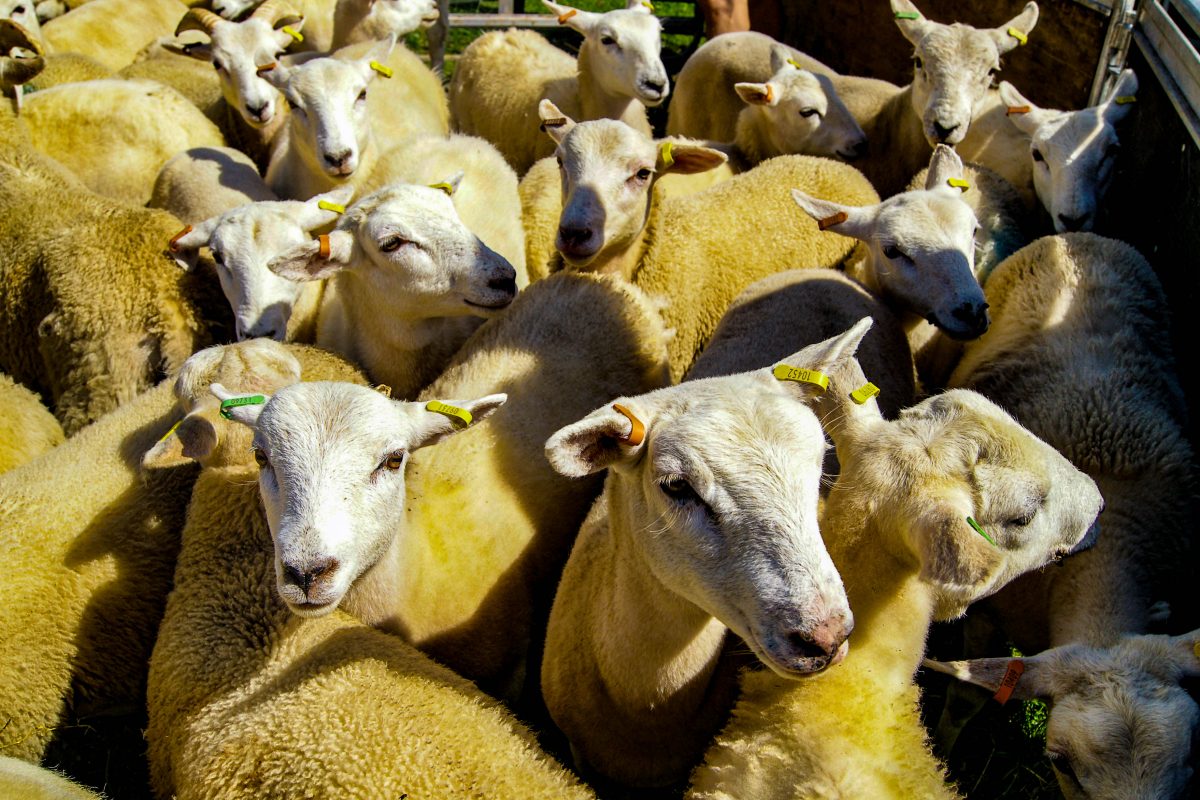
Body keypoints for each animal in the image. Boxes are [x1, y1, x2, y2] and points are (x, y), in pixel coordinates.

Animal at [217, 271, 670, 701]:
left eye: (393, 460)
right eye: (261, 458)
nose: (307, 572)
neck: (415, 568)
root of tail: (599, 280)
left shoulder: (509, 670)